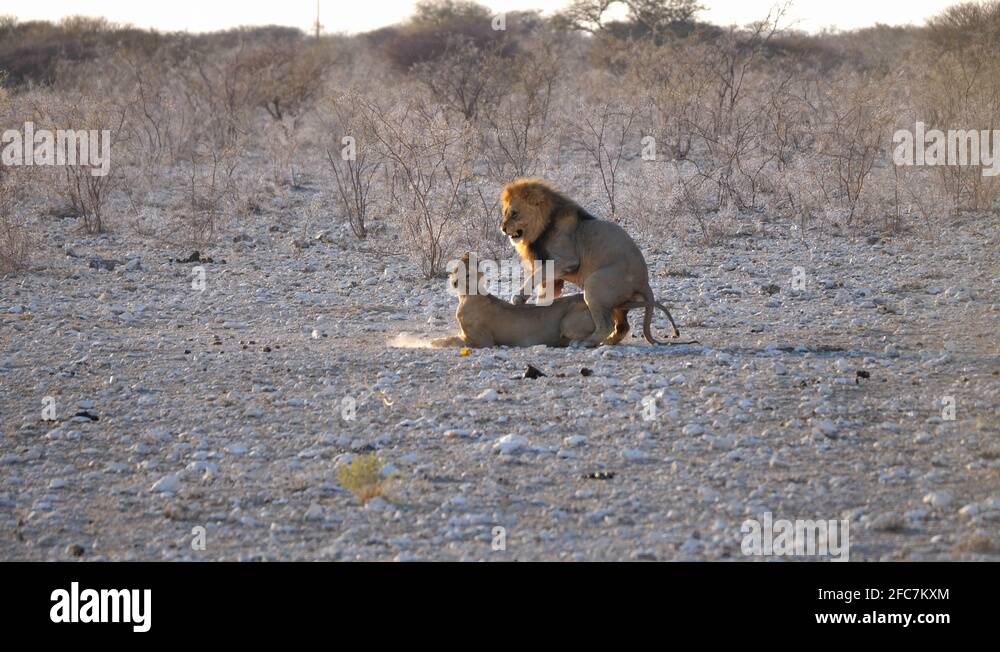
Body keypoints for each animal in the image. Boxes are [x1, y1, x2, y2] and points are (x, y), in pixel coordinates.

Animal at [430, 253, 672, 348]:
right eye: (454, 269)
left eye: (467, 273)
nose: (453, 282)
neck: (467, 296)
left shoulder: (485, 341)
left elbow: (455, 340)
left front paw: (435, 342)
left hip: (570, 320)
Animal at [500, 178, 680, 346]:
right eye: (505, 213)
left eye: (514, 213)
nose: (502, 228)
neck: (542, 228)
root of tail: (644, 282)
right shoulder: (552, 274)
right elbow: (543, 293)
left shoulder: (567, 260)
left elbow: (536, 275)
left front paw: (518, 298)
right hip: (615, 302)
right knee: (622, 327)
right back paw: (606, 342)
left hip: (594, 283)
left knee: (607, 325)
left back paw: (585, 342)